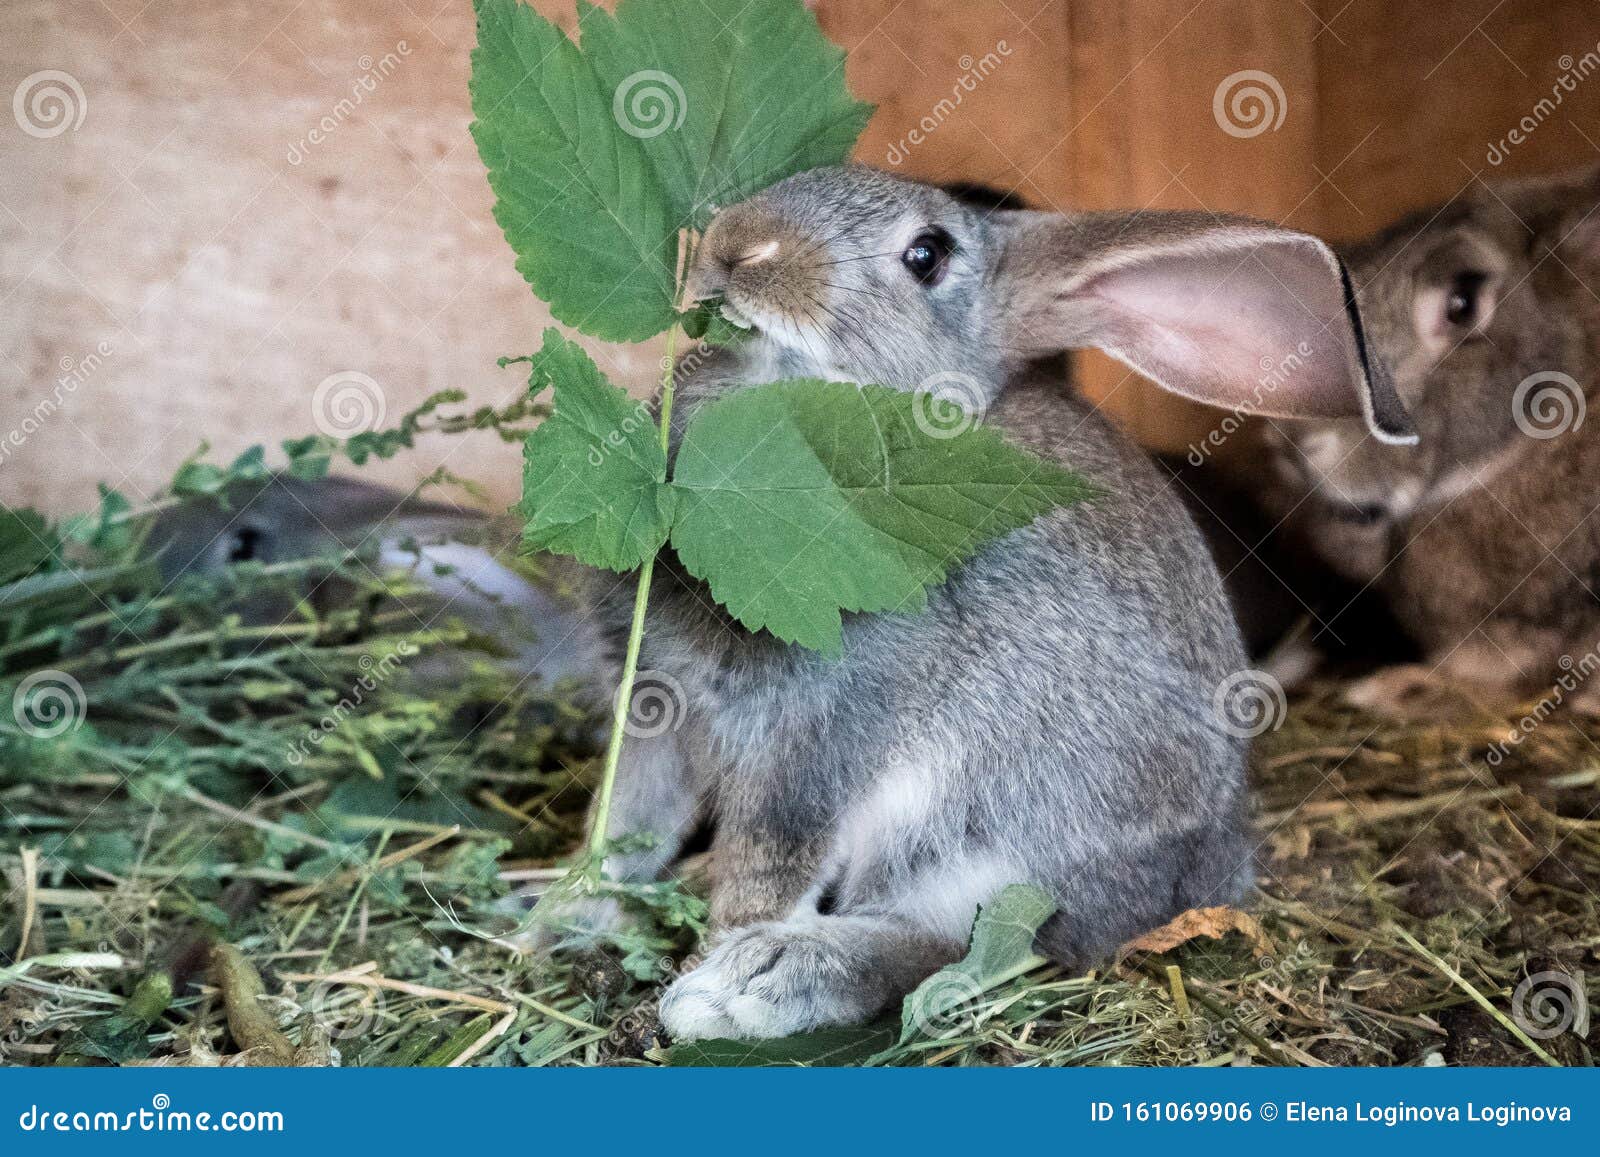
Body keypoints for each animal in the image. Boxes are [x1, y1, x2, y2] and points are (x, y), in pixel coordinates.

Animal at [547, 164, 1412, 1041]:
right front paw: (561, 917)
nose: (737, 247)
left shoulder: (824, 731)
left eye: (927, 254)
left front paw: (719, 955)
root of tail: (1208, 875)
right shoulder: (657, 702)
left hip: (979, 840)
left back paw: (762, 978)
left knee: (963, 944)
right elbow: (626, 822)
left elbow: (772, 855)